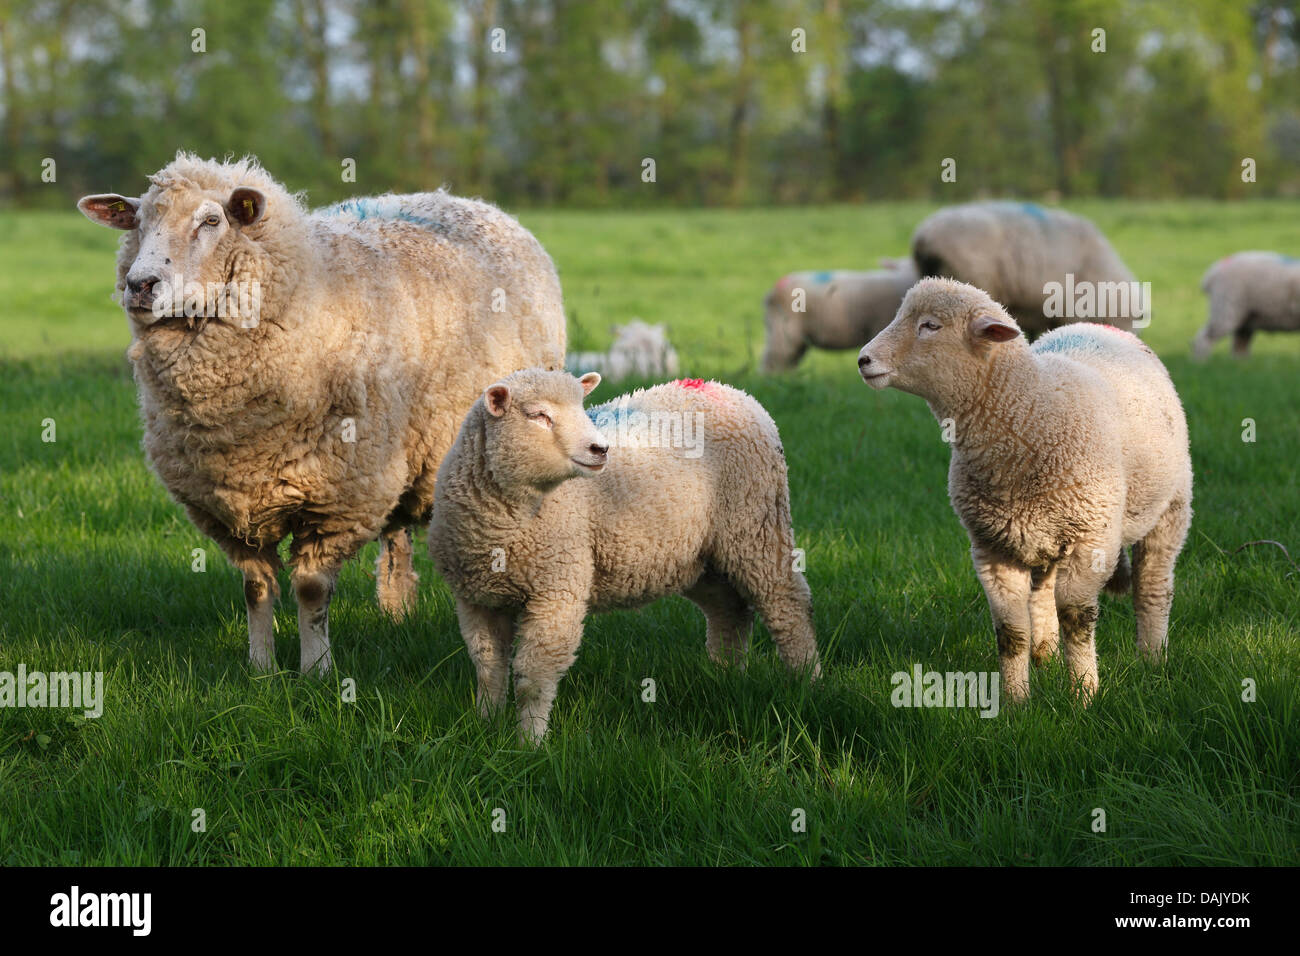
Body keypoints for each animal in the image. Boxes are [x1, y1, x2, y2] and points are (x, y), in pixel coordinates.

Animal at [77, 152, 566, 675]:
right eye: (139, 222)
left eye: (211, 221)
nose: (140, 285)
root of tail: (459, 199)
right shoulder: (230, 500)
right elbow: (256, 588)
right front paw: (261, 669)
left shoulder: (340, 494)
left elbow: (311, 590)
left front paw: (316, 670)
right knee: (396, 542)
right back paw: (397, 613)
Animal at [428, 368, 821, 743]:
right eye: (539, 415)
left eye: (582, 407)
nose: (600, 448)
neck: (504, 523)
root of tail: (726, 389)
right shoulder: (476, 599)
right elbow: (487, 668)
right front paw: (486, 725)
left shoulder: (558, 589)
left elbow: (533, 679)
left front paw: (530, 742)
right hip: (698, 556)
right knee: (730, 611)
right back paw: (726, 676)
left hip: (756, 526)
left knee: (787, 604)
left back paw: (807, 679)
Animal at [857, 278, 1192, 703]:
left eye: (930, 326)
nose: (863, 360)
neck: (1031, 410)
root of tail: (1095, 324)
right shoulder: (992, 547)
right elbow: (1011, 631)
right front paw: (1016, 702)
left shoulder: (1091, 539)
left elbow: (1076, 618)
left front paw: (1084, 695)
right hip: (1040, 532)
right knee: (1043, 592)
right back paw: (1044, 652)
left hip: (1172, 507)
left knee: (1152, 586)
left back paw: (1152, 657)